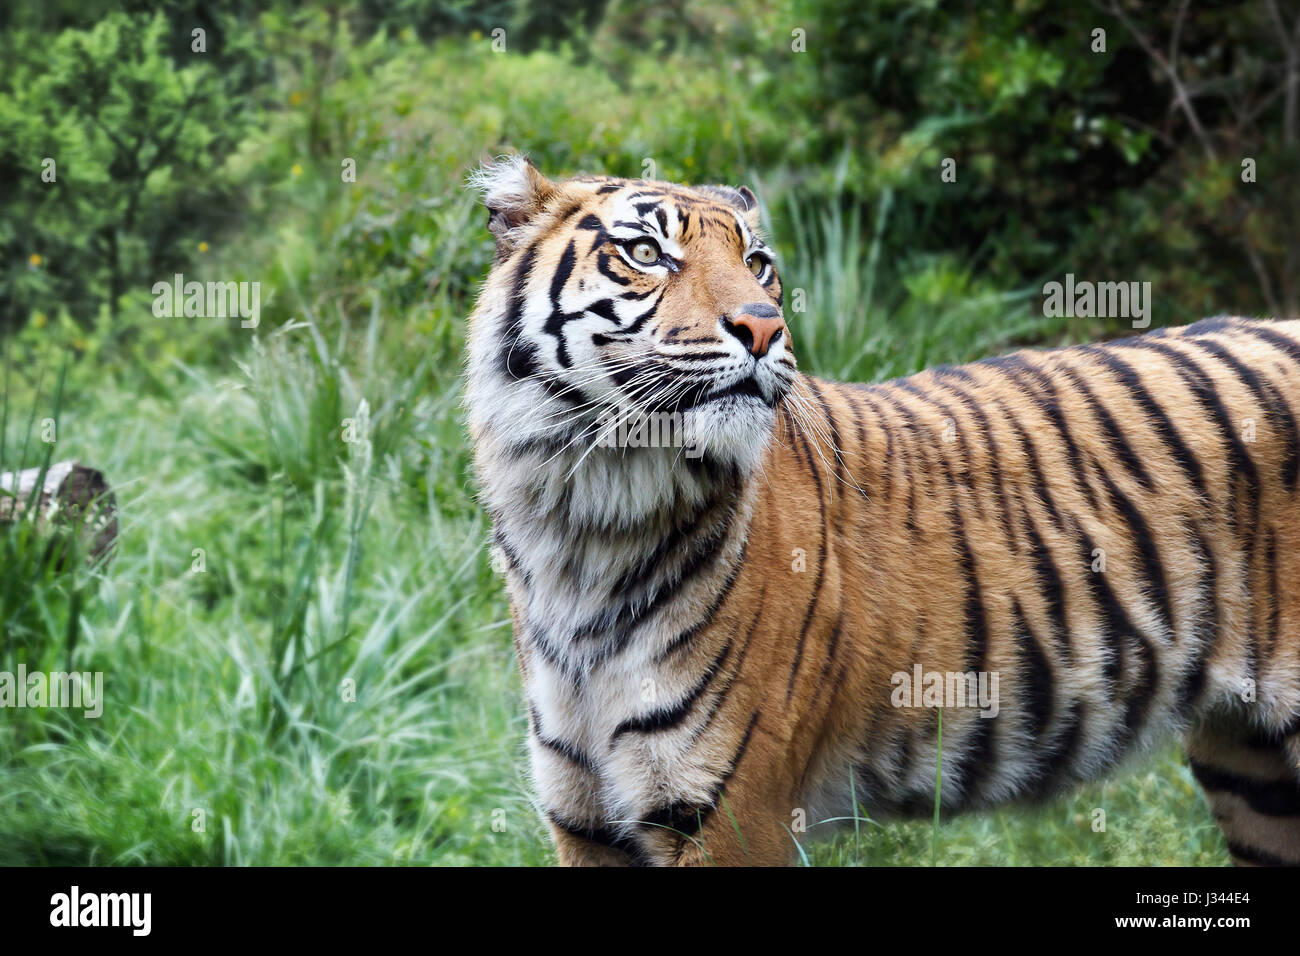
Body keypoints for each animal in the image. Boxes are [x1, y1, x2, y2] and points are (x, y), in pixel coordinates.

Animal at [464, 155, 1300, 867]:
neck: (585, 520)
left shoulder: (733, 817)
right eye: (645, 252)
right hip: (1253, 772)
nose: (764, 326)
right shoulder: (586, 820)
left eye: (758, 264)